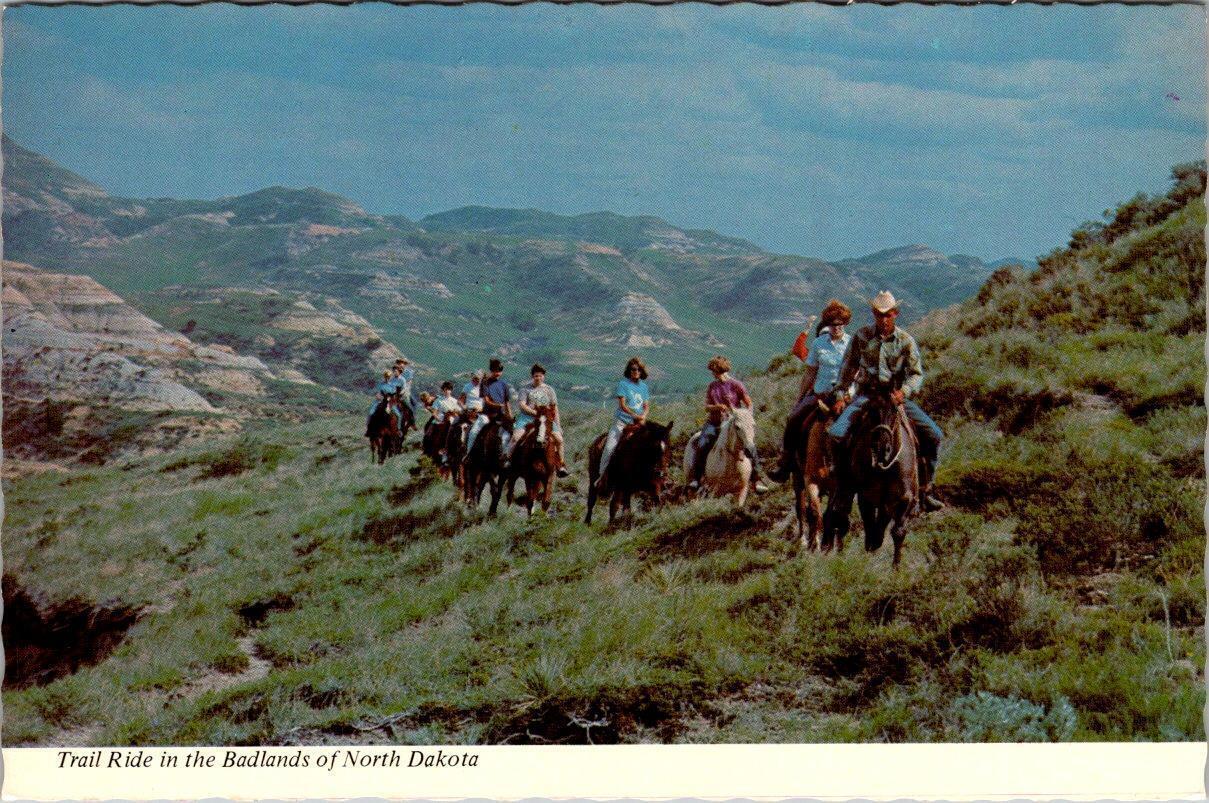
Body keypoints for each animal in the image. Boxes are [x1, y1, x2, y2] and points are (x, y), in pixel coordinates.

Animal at [825, 393, 918, 567]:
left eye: (894, 410)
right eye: (871, 410)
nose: (882, 449)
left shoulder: (903, 499)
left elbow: (897, 532)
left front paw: (896, 568)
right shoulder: (866, 497)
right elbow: (869, 531)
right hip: (846, 489)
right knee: (839, 517)